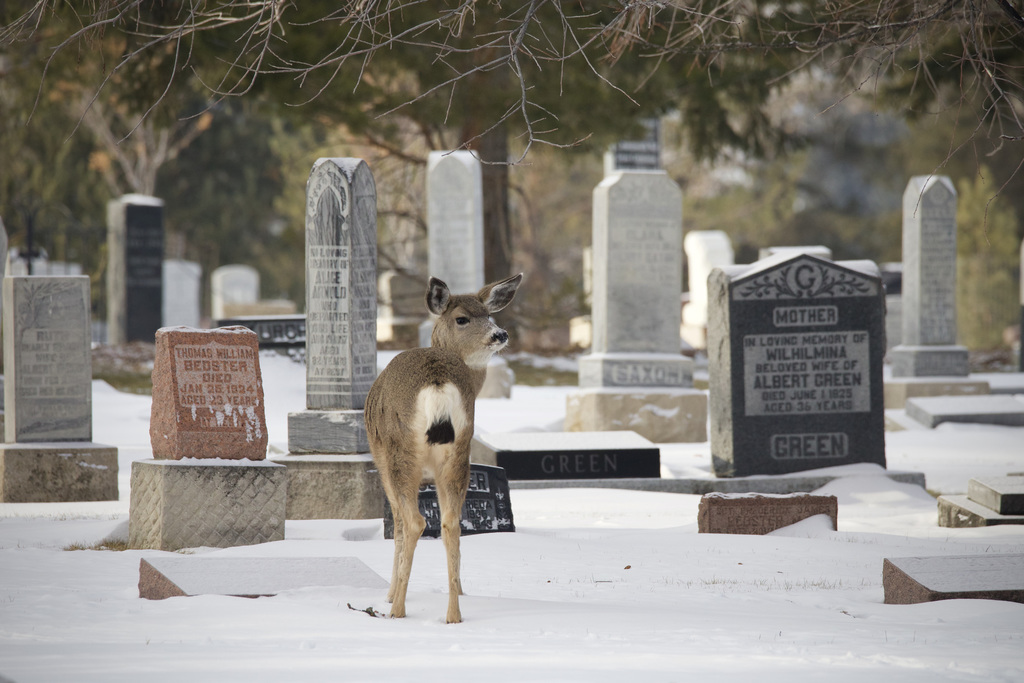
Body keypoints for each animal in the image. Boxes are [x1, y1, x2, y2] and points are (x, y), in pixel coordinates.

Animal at [364, 273, 523, 623]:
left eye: (488, 314)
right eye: (463, 318)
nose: (500, 333)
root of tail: (437, 383)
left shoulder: (381, 463)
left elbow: (396, 524)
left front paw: (389, 592)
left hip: (401, 453)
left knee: (414, 522)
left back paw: (397, 609)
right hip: (459, 452)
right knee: (451, 522)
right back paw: (454, 613)